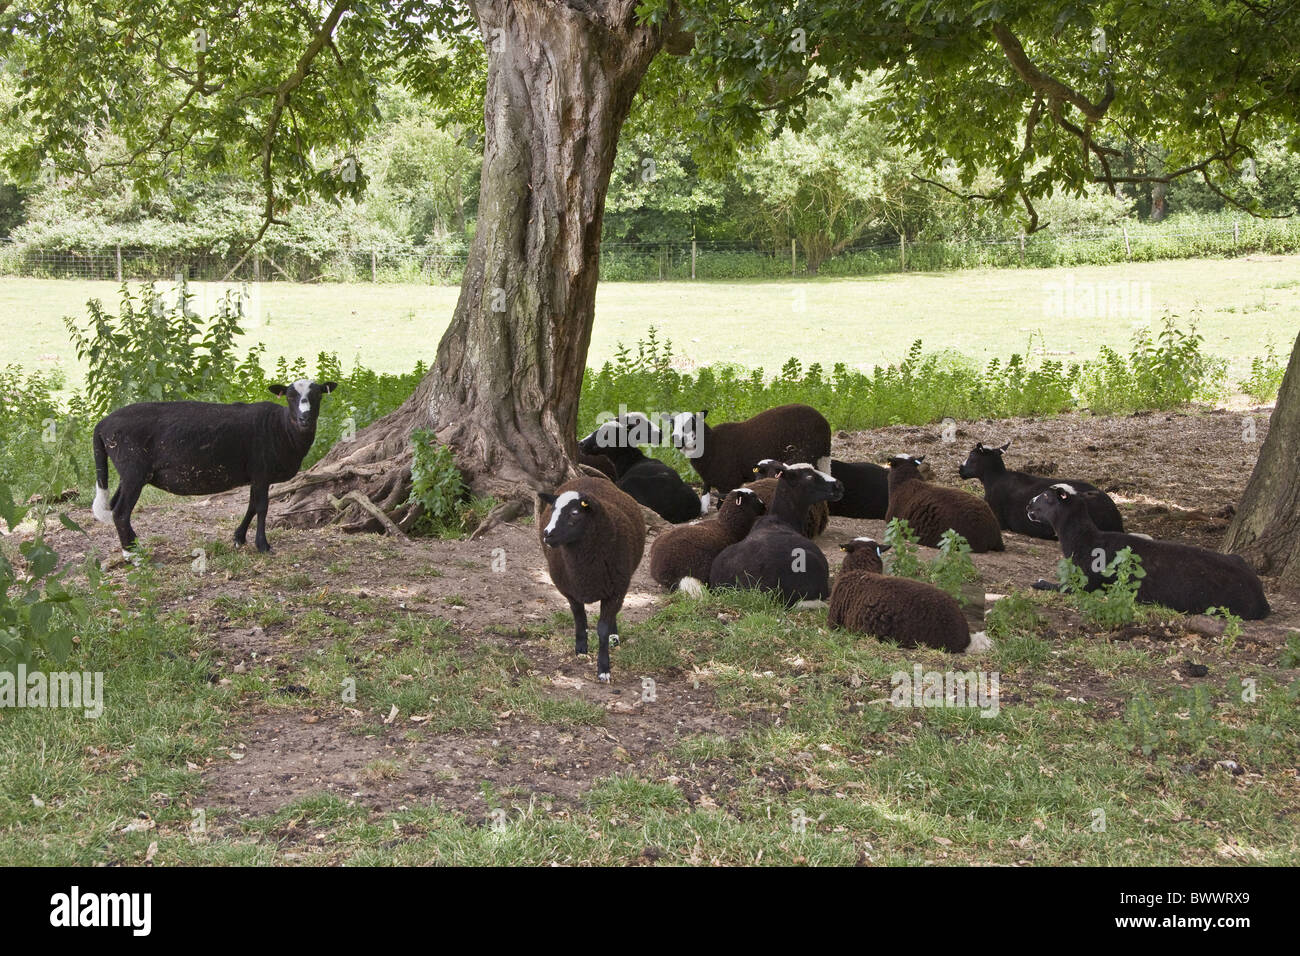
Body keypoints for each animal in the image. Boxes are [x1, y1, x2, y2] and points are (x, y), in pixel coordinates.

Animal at [91, 379, 337, 556]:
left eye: (317, 395)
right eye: (290, 396)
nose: (305, 419)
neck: (282, 427)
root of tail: (101, 425)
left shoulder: (254, 474)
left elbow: (251, 505)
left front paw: (239, 538)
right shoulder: (261, 471)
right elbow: (262, 507)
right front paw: (262, 545)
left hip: (129, 473)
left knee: (114, 506)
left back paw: (132, 547)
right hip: (133, 469)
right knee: (121, 511)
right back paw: (133, 555)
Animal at [538, 477, 647, 681]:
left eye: (574, 513)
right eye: (553, 510)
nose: (547, 534)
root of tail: (587, 478)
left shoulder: (616, 590)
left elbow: (603, 628)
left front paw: (603, 668)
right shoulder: (570, 590)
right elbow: (579, 617)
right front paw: (581, 648)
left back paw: (614, 637)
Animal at [669, 404, 831, 494]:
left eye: (692, 423)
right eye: (672, 424)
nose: (676, 439)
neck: (712, 443)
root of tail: (824, 423)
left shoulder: (728, 482)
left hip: (804, 455)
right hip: (818, 457)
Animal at [1027, 483, 1270, 619]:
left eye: (1047, 497)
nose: (1028, 505)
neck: (1083, 539)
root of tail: (1262, 600)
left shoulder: (1086, 584)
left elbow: (1057, 587)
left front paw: (1039, 582)